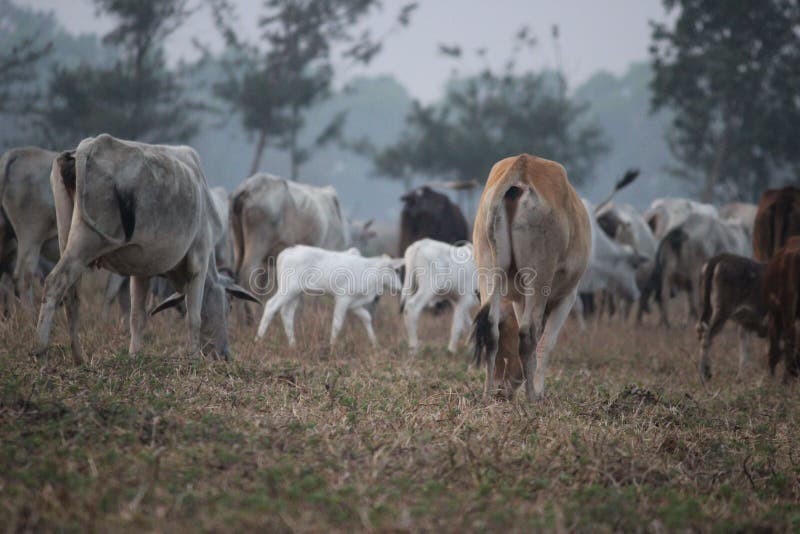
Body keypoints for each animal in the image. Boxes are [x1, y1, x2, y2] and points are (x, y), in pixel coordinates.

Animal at [35, 134, 258, 363]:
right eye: (229, 306)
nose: (225, 354)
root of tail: (86, 148)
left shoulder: (141, 271)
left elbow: (137, 318)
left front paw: (134, 355)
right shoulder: (199, 261)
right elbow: (194, 317)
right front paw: (194, 357)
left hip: (66, 234)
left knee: (71, 295)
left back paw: (79, 356)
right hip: (85, 241)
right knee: (55, 282)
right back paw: (40, 349)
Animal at [255, 245, 403, 347]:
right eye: (395, 270)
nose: (400, 288)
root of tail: (286, 252)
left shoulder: (353, 303)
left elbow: (366, 316)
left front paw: (375, 343)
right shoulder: (343, 298)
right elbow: (337, 322)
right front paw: (332, 345)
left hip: (296, 293)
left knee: (287, 313)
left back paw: (292, 344)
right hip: (289, 289)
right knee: (271, 306)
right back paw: (259, 339)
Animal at [472, 154, 591, 401]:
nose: (502, 389)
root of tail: (521, 166)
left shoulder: (518, 299)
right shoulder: (567, 297)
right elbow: (546, 343)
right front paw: (539, 390)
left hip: (488, 269)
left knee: (491, 329)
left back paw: (486, 396)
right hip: (540, 278)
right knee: (528, 334)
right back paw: (531, 398)